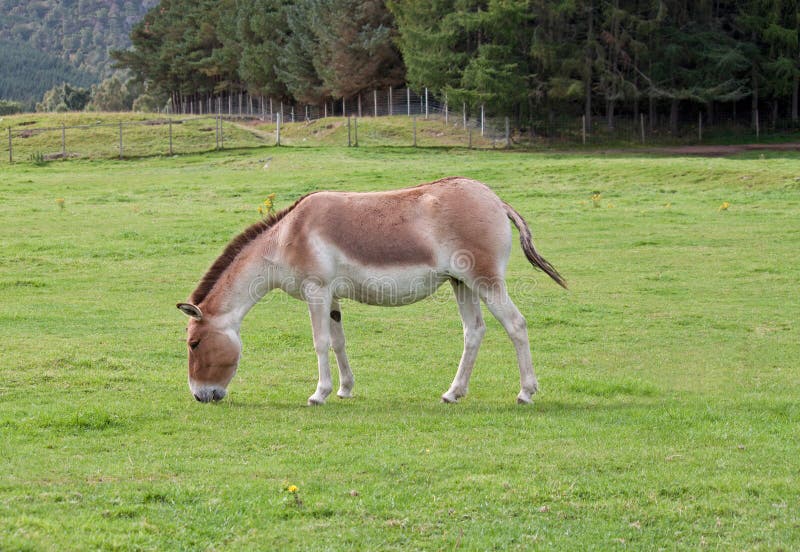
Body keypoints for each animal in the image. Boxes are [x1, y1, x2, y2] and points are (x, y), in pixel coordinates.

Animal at [177, 177, 566, 405]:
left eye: (193, 344)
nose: (199, 396)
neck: (286, 236)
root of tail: (495, 199)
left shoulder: (316, 291)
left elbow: (319, 342)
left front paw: (318, 394)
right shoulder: (332, 297)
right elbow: (338, 341)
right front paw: (345, 389)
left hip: (485, 280)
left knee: (516, 325)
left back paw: (525, 393)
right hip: (462, 283)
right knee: (474, 332)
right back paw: (453, 393)